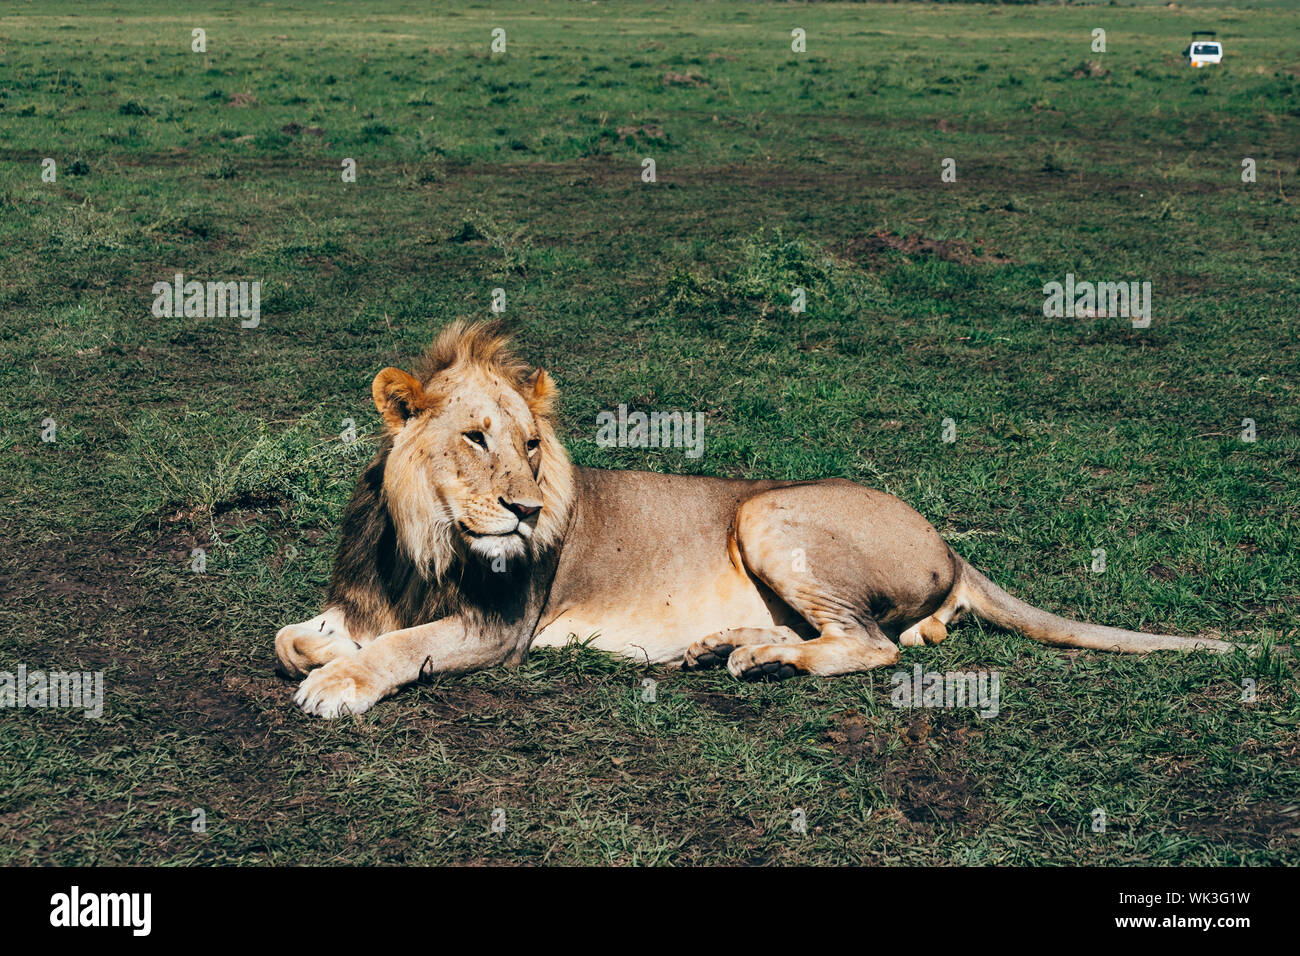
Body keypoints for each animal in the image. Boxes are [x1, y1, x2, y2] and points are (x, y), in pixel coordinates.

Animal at [277, 321, 1247, 717]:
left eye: (531, 447)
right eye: (475, 439)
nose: (526, 509)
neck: (423, 543)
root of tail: (952, 544)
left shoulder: (500, 627)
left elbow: (402, 647)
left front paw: (339, 683)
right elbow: (294, 635)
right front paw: (323, 654)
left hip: (768, 511)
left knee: (872, 645)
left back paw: (764, 660)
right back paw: (728, 648)